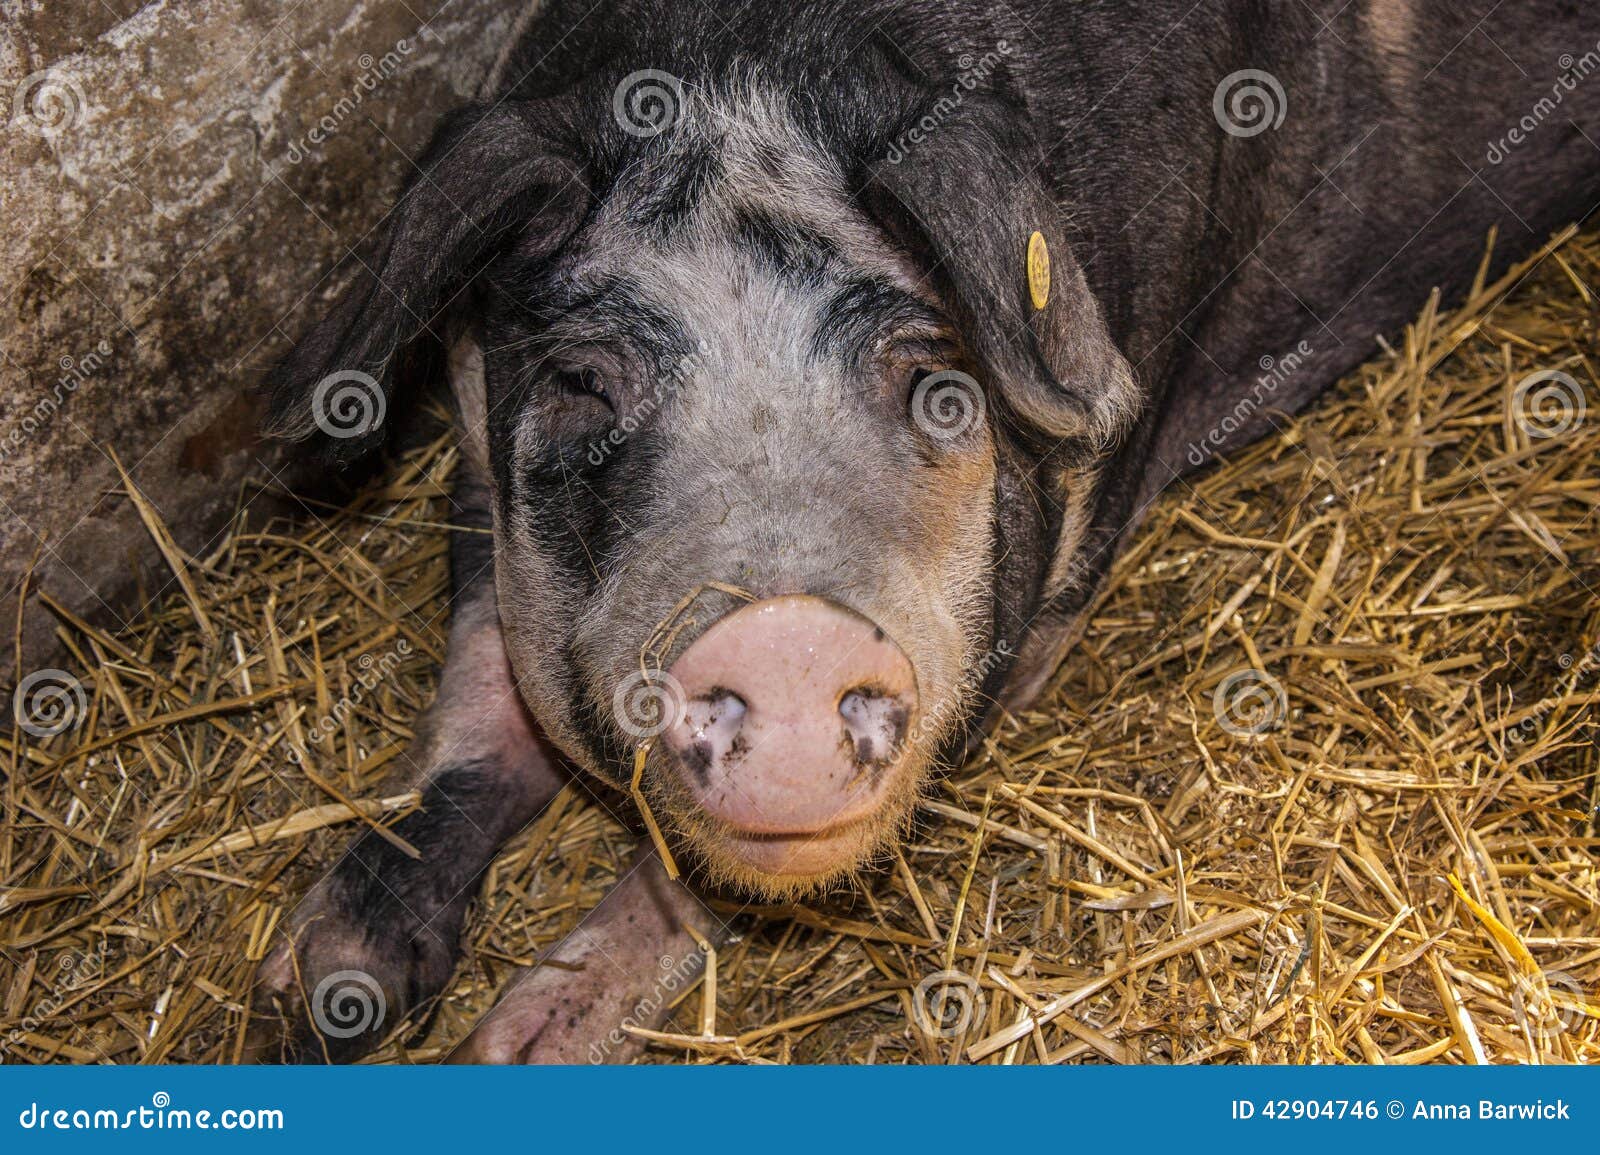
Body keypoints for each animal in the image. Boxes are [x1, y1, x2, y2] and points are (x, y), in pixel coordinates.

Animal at [250, 0, 1600, 1061]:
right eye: (582, 383)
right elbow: (477, 719)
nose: (785, 636)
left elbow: (696, 885)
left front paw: (513, 1049)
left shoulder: (1045, 595)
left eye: (936, 386)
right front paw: (318, 994)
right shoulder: (480, 462)